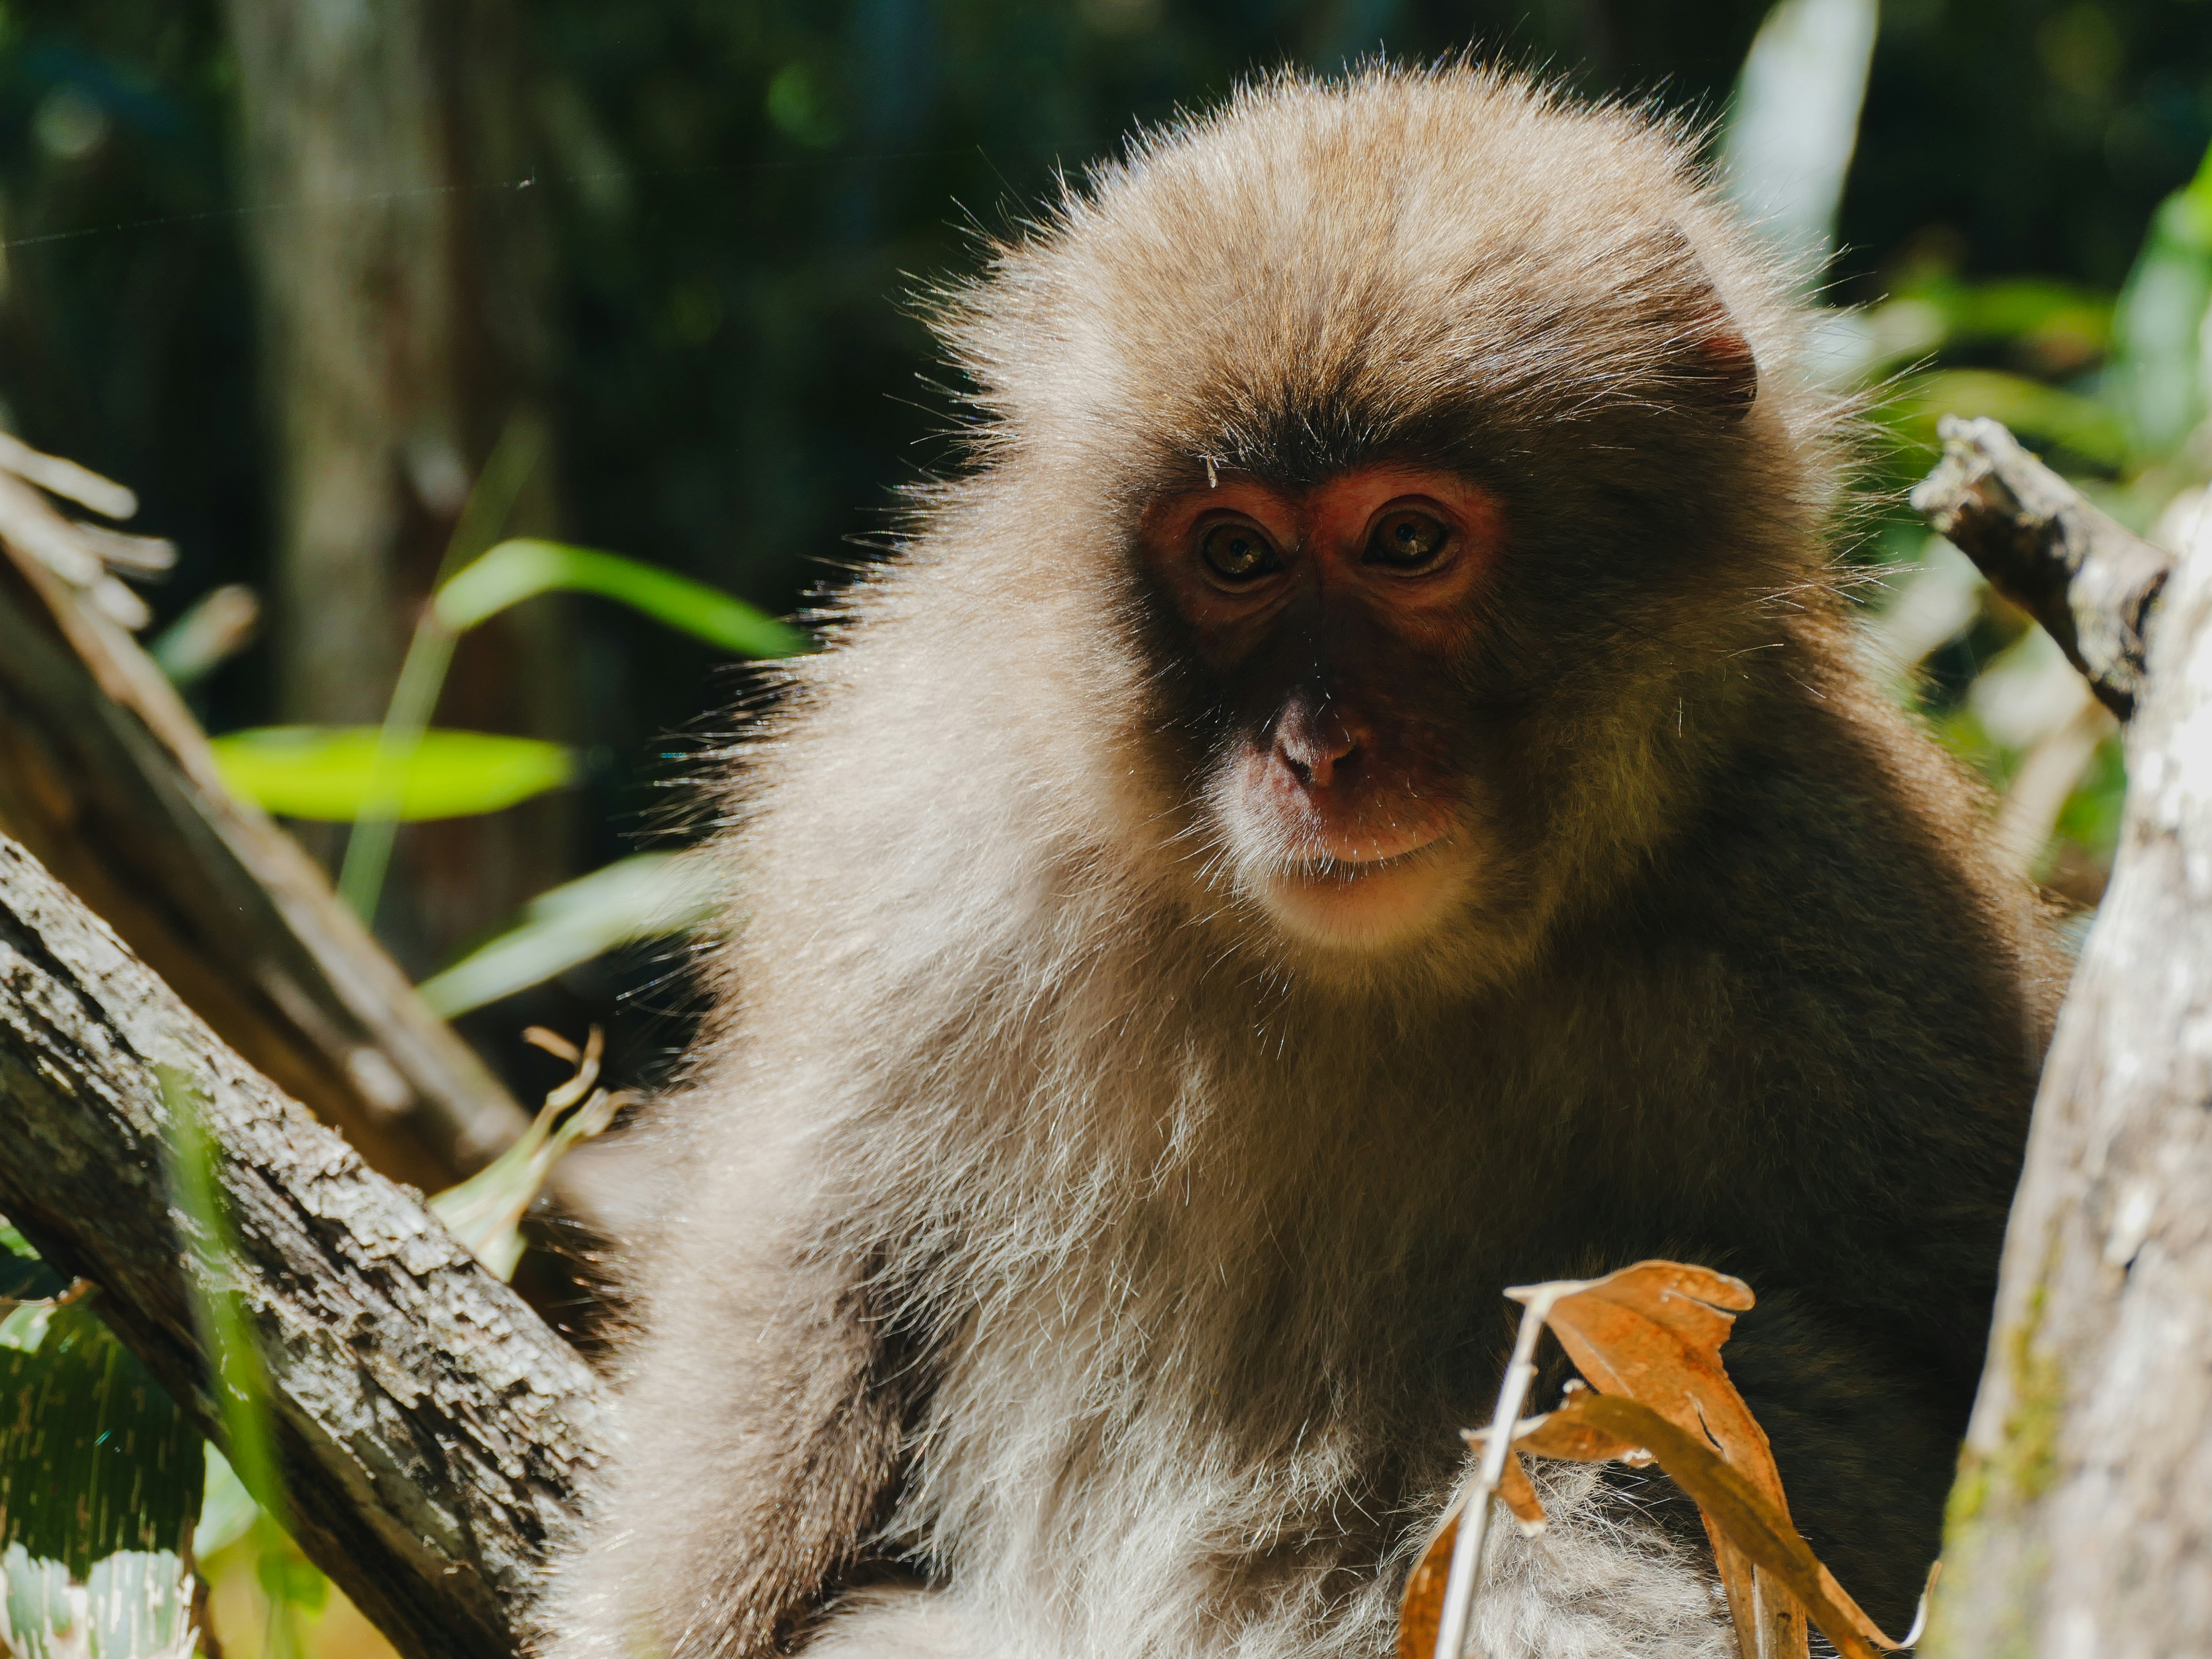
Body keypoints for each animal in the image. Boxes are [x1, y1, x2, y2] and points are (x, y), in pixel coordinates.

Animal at [537, 64, 2059, 1659]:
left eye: (1407, 540)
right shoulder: (921, 838)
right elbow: (807, 1267)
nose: (1319, 749)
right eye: (1237, 556)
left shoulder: (1843, 907)